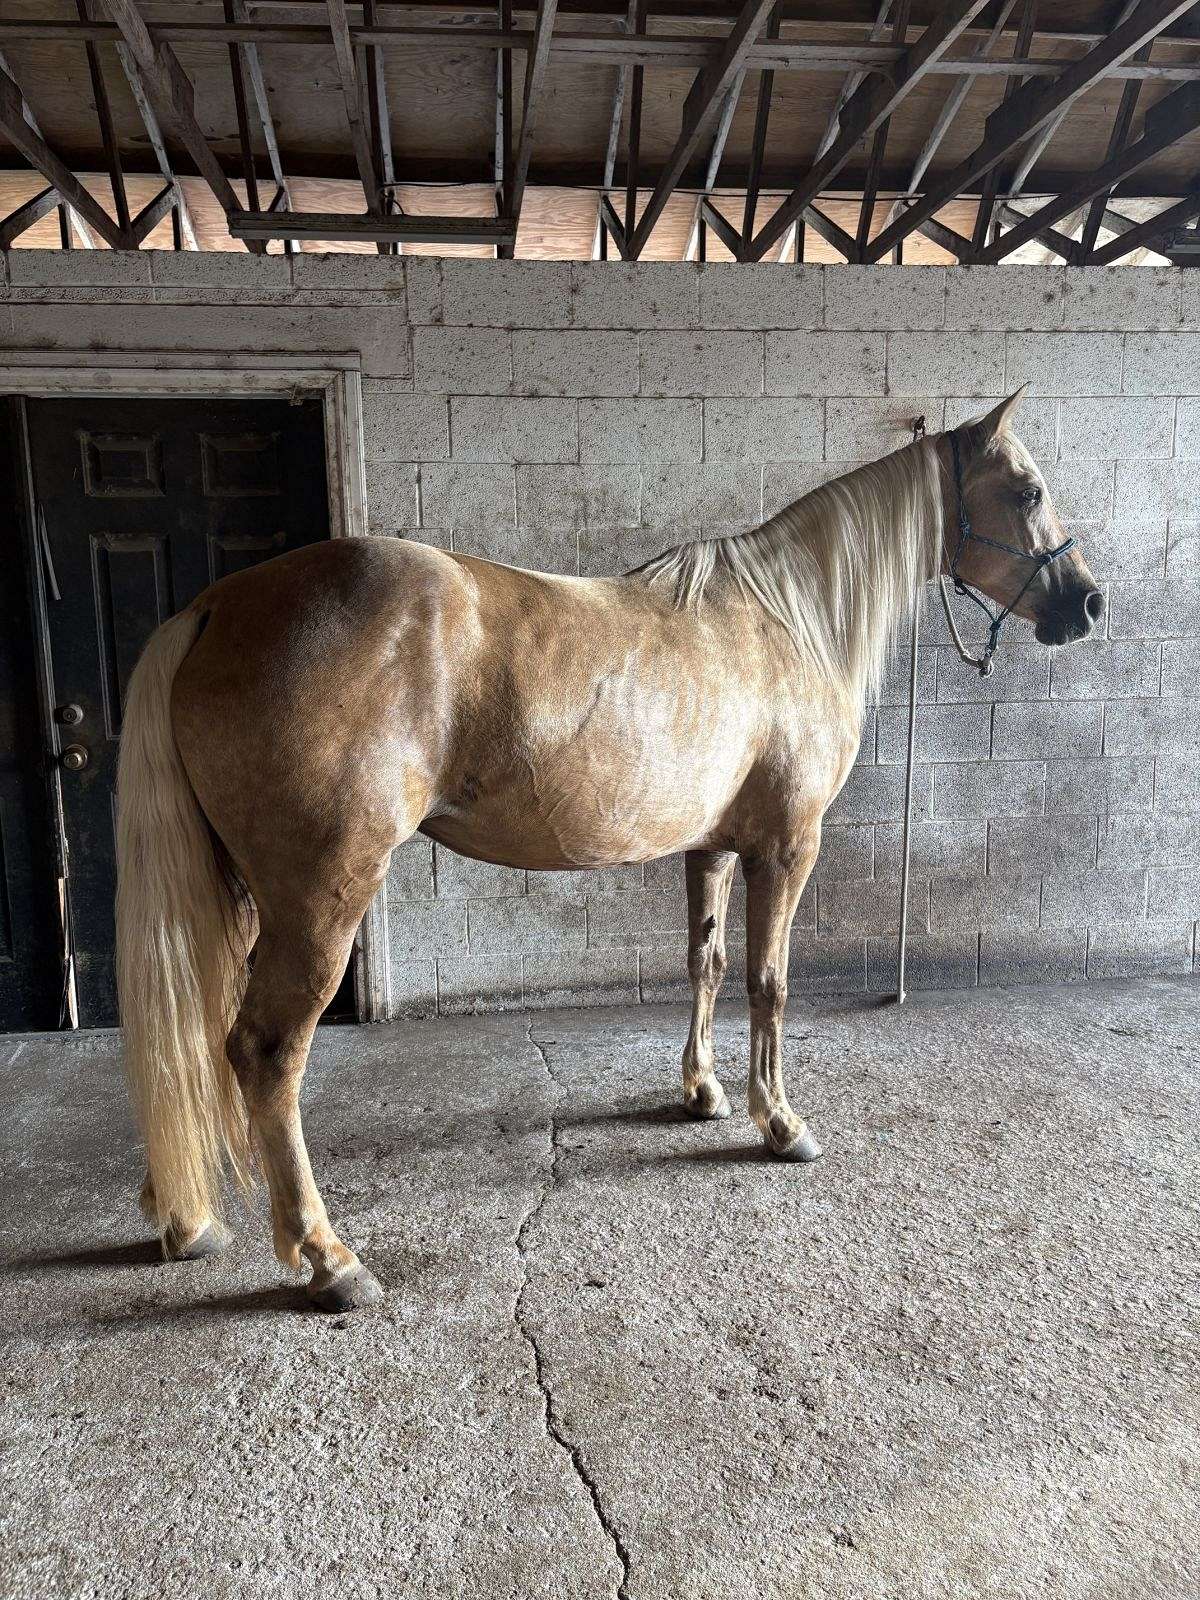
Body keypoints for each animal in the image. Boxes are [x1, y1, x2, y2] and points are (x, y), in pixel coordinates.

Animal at [116, 389, 1102, 1312]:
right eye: (1027, 490)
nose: (1087, 604)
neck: (790, 619)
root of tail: (213, 607)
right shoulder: (787, 847)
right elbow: (769, 982)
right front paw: (780, 1124)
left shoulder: (713, 849)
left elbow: (706, 964)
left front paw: (702, 1095)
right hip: (322, 896)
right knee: (267, 1052)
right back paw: (328, 1259)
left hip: (249, 898)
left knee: (200, 1034)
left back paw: (186, 1217)